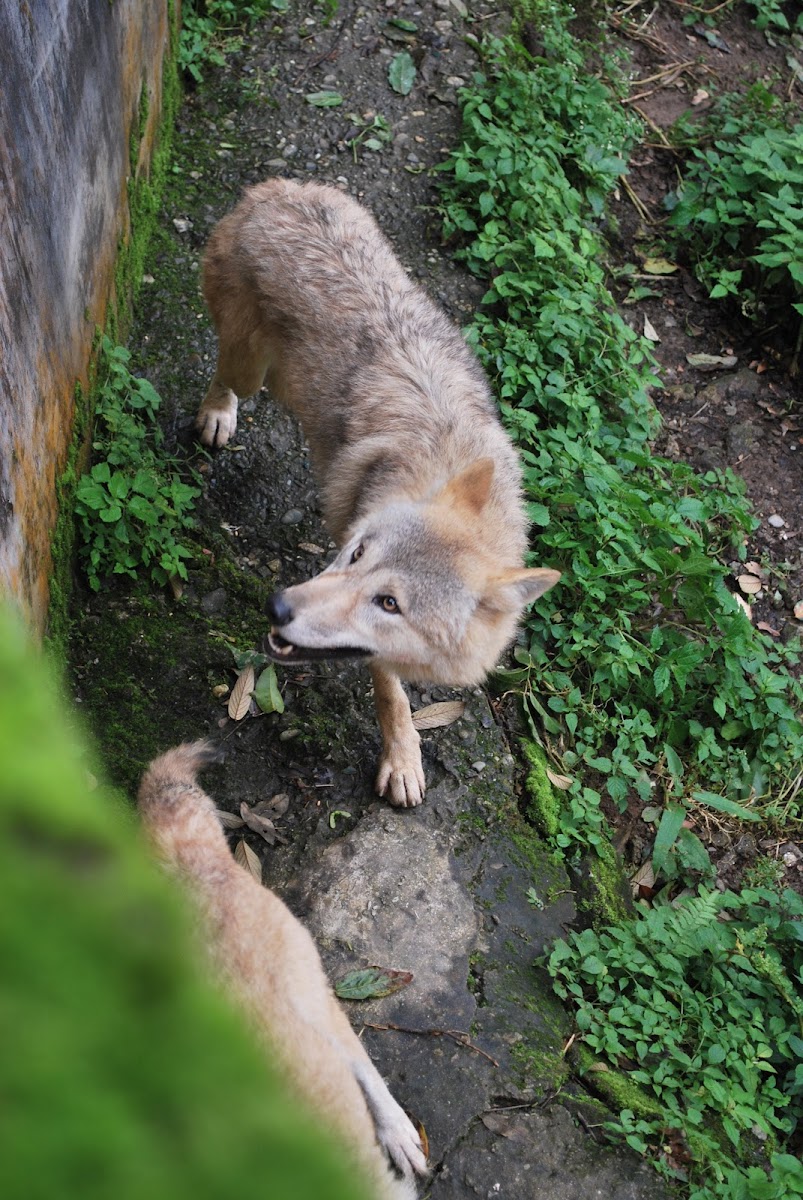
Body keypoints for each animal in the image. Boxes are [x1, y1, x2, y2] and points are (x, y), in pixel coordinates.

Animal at [196, 179, 560, 807]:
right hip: (249, 368)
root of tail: (278, 189)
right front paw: (403, 761)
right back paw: (217, 416)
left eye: (389, 603)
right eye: (357, 553)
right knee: (227, 378)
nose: (278, 606)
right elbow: (391, 695)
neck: (439, 465)